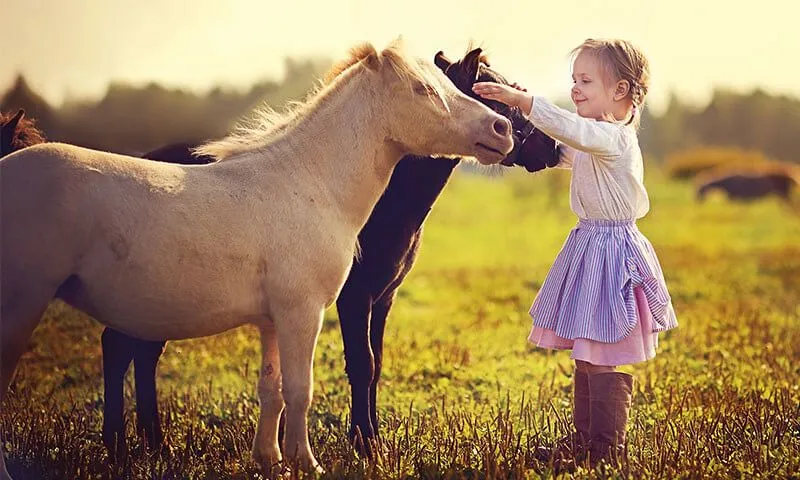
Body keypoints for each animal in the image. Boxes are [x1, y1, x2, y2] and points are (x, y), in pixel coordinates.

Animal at [3, 47, 560, 460]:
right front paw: (353, 449)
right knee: (119, 351)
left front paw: (355, 443)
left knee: (132, 351)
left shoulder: (370, 301)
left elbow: (351, 371)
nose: (545, 145)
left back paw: (146, 446)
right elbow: (340, 373)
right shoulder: (333, 304)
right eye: (484, 90)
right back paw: (130, 447)